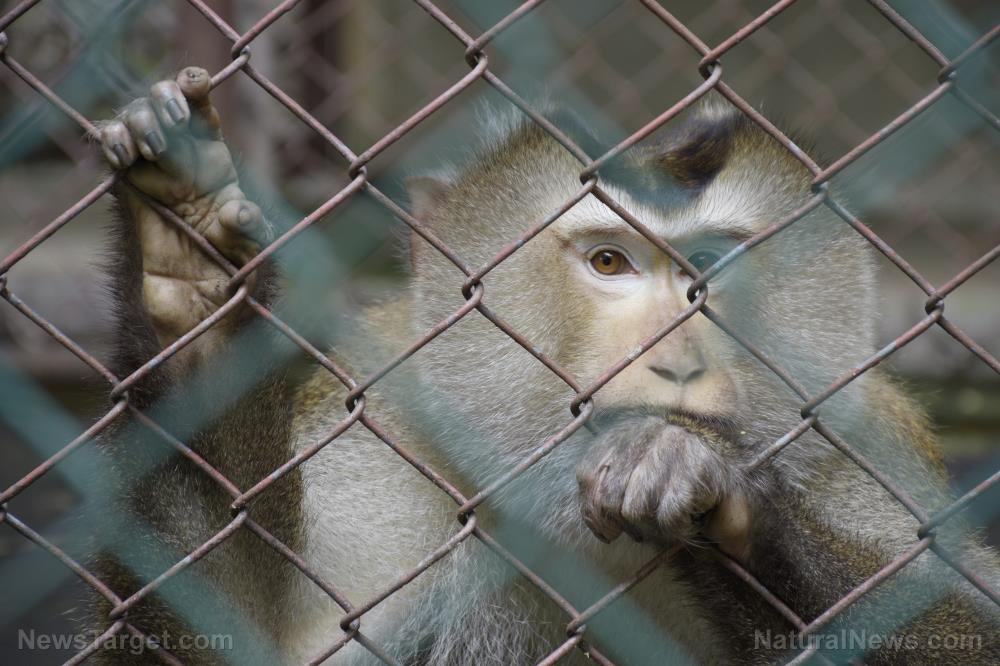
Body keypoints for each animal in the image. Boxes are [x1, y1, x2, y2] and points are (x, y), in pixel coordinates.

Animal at [82, 65, 1000, 665]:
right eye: (609, 262)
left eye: (709, 268)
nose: (674, 362)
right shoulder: (388, 455)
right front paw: (191, 289)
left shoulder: (863, 460)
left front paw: (709, 487)